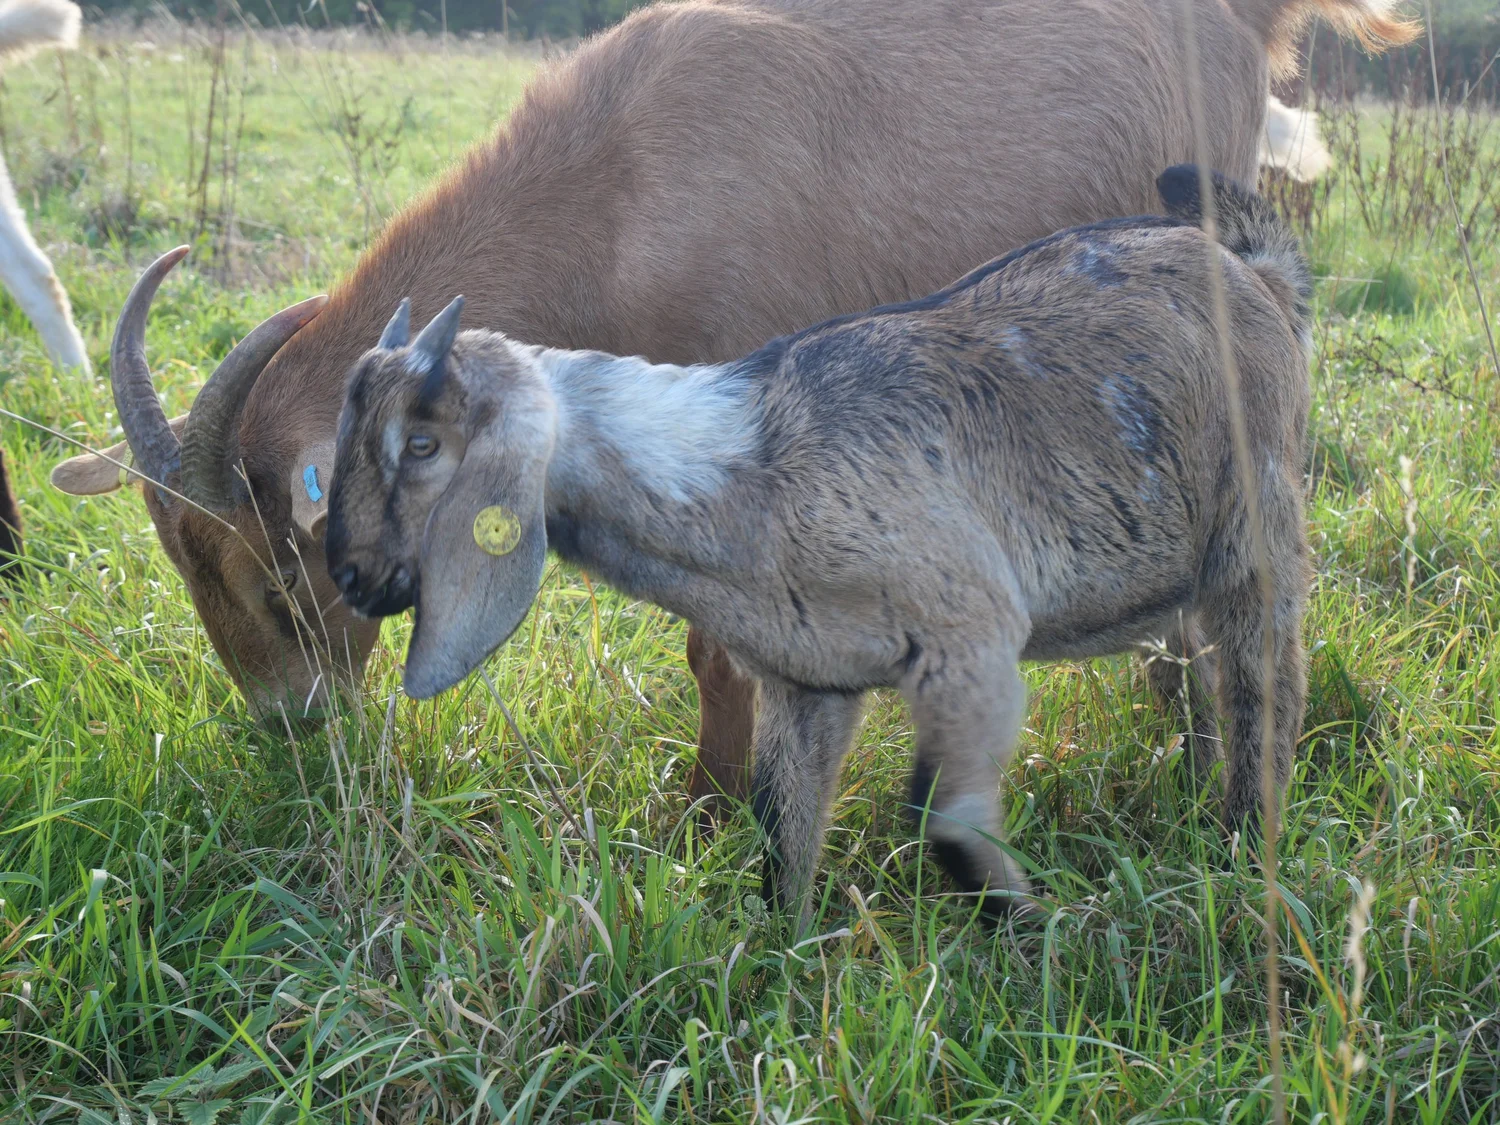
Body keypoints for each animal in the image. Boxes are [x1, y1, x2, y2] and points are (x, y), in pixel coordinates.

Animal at [50, 0, 1410, 785]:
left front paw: (712, 802)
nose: (291, 726)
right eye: (188, 570)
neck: (623, 177)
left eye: (281, 569)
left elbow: (721, 641)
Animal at [324, 167, 1313, 926]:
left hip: (1257, 519)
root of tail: (1255, 275)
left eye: (422, 443)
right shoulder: (811, 678)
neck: (751, 466)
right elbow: (781, 821)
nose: (350, 575)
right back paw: (1191, 787)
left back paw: (1239, 840)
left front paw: (1042, 932)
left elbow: (942, 821)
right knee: (1187, 658)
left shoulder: (971, 635)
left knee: (1262, 682)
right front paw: (782, 953)